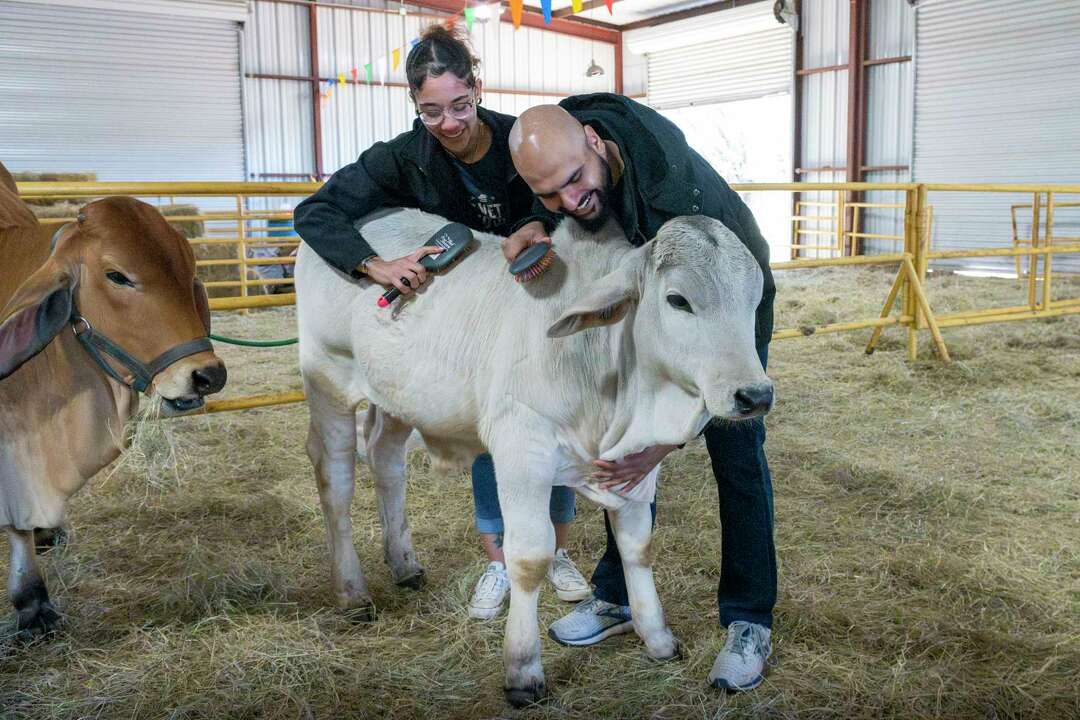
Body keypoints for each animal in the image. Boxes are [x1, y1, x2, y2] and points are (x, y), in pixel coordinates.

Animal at [295, 208, 772, 707]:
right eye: (678, 300)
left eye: (754, 298)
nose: (754, 396)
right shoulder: (522, 452)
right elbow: (528, 558)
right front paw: (523, 669)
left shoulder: (637, 467)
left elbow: (636, 546)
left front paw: (657, 637)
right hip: (327, 379)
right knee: (335, 478)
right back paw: (352, 592)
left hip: (396, 400)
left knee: (386, 459)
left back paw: (404, 563)